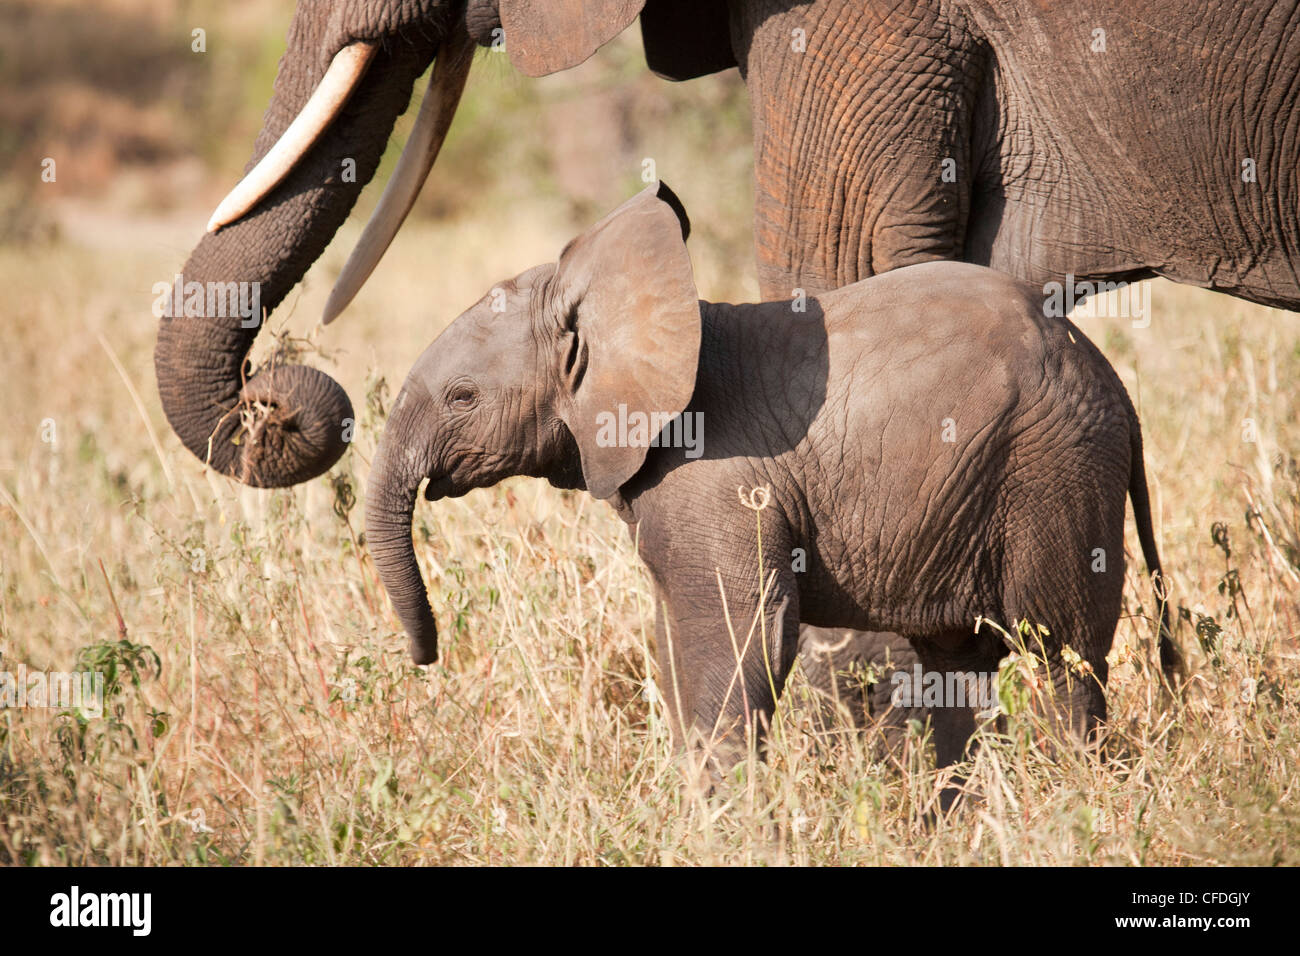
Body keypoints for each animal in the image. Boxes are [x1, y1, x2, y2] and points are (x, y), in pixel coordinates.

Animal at [364, 182, 1178, 775]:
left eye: (461, 398)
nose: (424, 656)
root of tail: (1114, 384)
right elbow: (673, 637)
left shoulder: (719, 479)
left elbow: (739, 631)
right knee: (956, 666)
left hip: (1053, 469)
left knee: (1063, 653)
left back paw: (1076, 792)